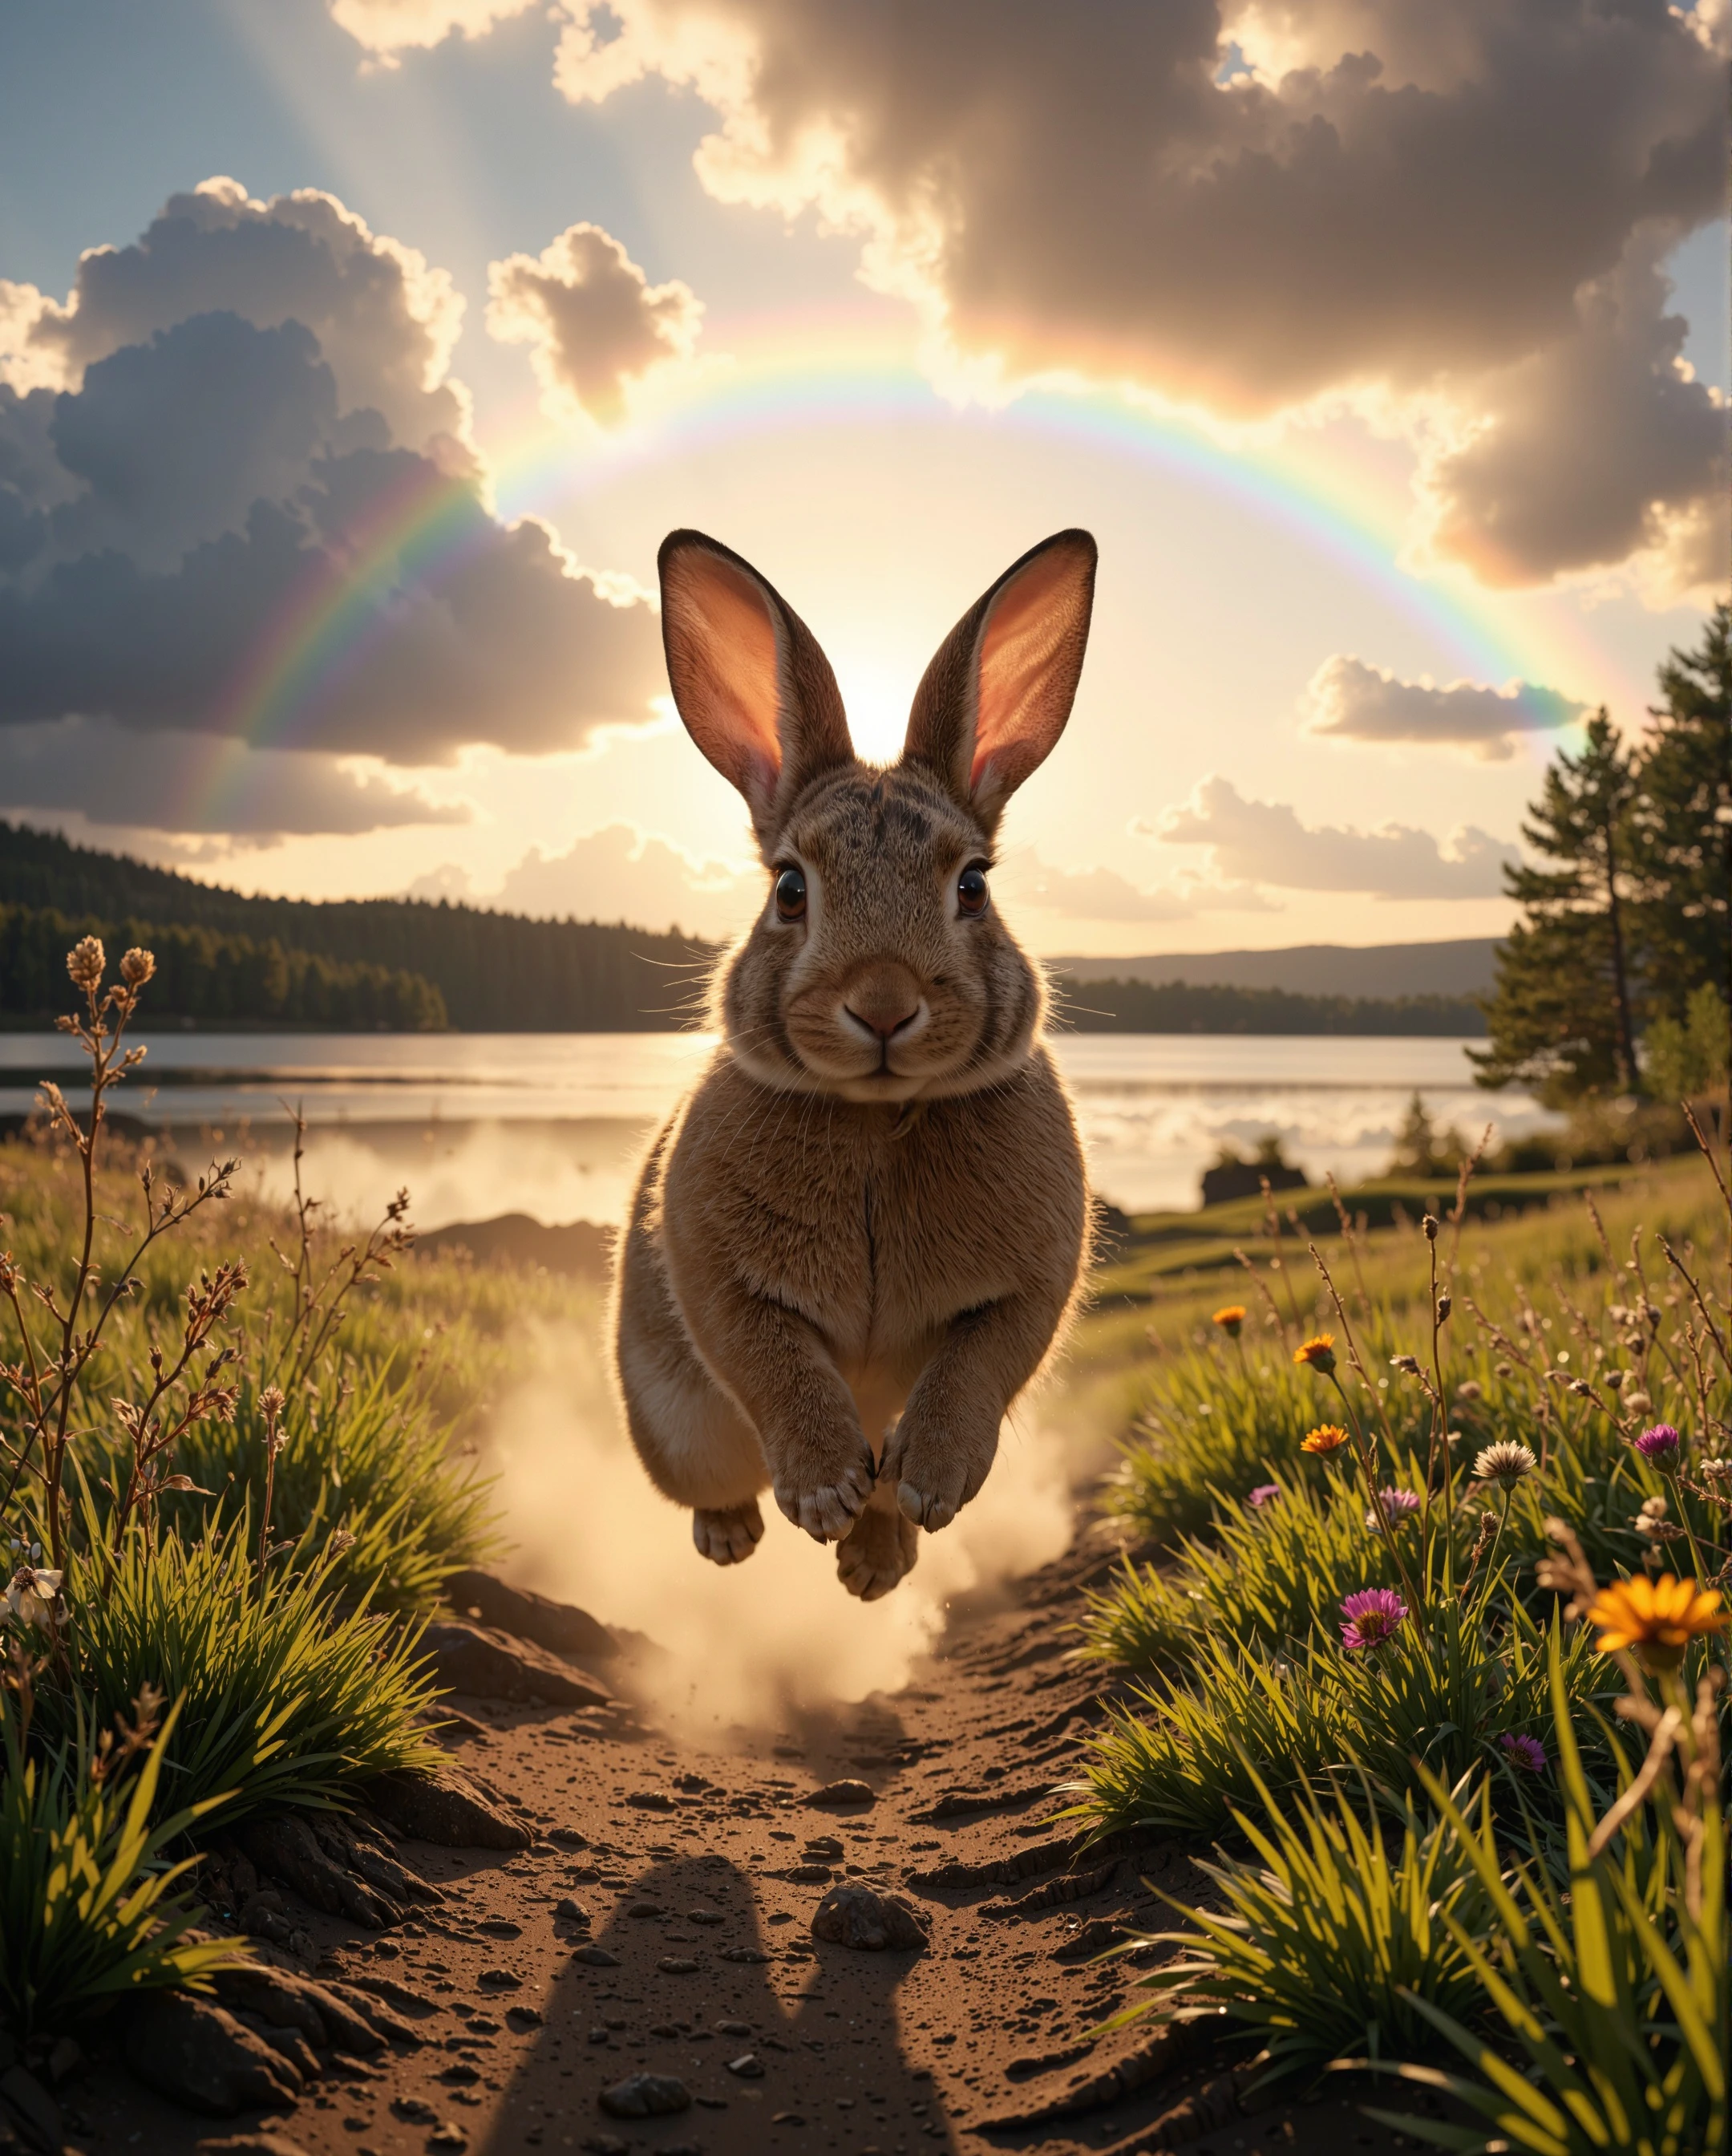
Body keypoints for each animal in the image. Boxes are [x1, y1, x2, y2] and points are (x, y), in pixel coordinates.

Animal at [611, 526, 1097, 1601]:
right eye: (790, 889)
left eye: (973, 884)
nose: (882, 1005)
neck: (878, 1115)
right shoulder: (717, 1277)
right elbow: (770, 1358)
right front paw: (825, 1487)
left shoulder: (1029, 1285)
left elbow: (979, 1363)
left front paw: (924, 1482)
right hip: (676, 1429)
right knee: (713, 1480)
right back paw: (739, 1537)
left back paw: (875, 1562)